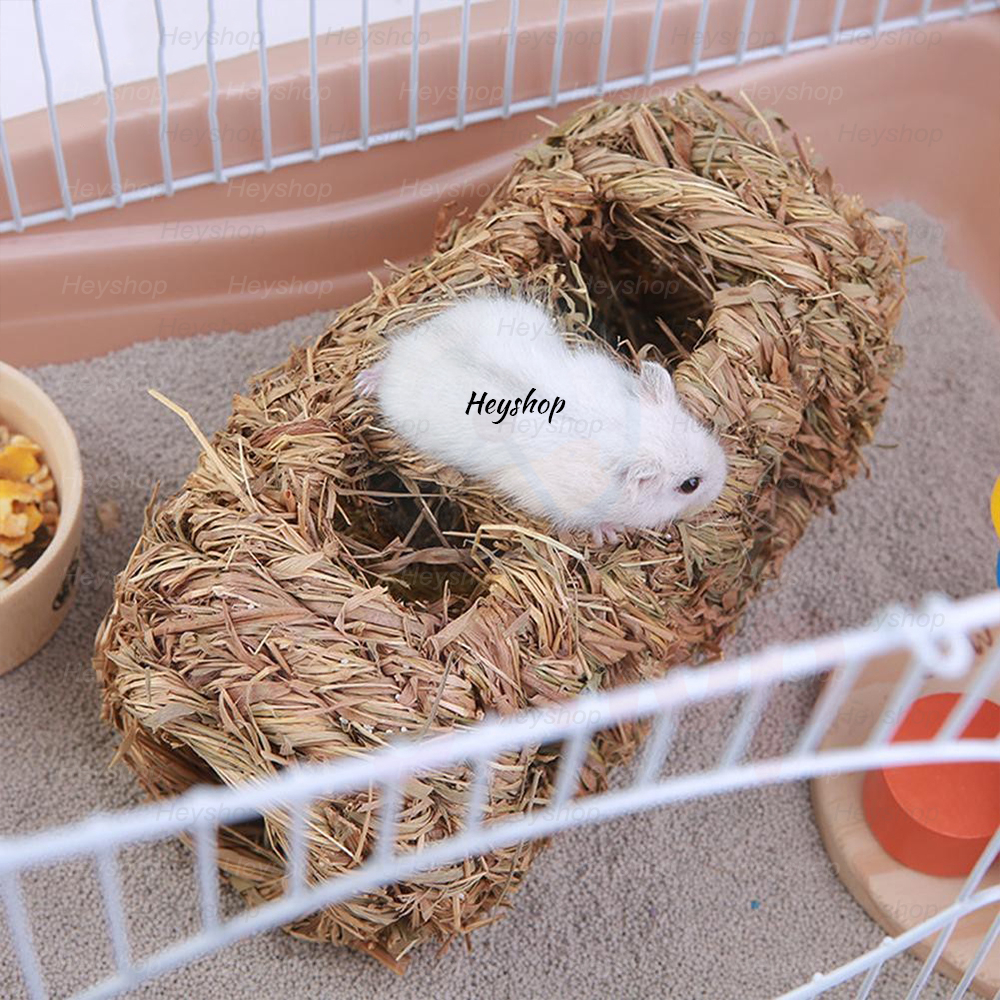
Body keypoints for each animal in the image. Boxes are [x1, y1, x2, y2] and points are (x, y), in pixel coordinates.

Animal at [355, 293, 727, 546]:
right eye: (689, 485)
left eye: (699, 427)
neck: (618, 432)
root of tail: (404, 351)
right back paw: (364, 381)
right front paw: (610, 534)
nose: (725, 477)